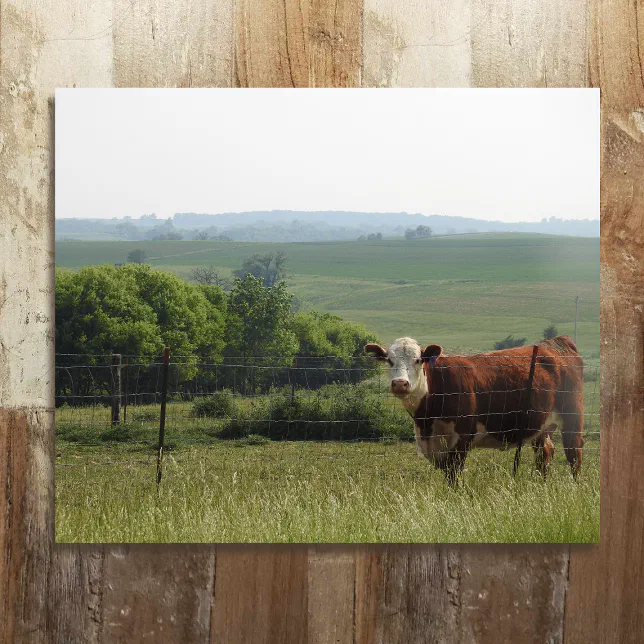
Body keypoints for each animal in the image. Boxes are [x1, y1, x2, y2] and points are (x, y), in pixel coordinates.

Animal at [365, 336, 584, 484]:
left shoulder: (462, 437)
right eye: (389, 360)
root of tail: (556, 342)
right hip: (542, 424)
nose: (400, 384)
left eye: (418, 360)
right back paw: (541, 485)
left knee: (574, 453)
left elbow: (454, 474)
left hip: (572, 417)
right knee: (545, 453)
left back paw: (574, 487)